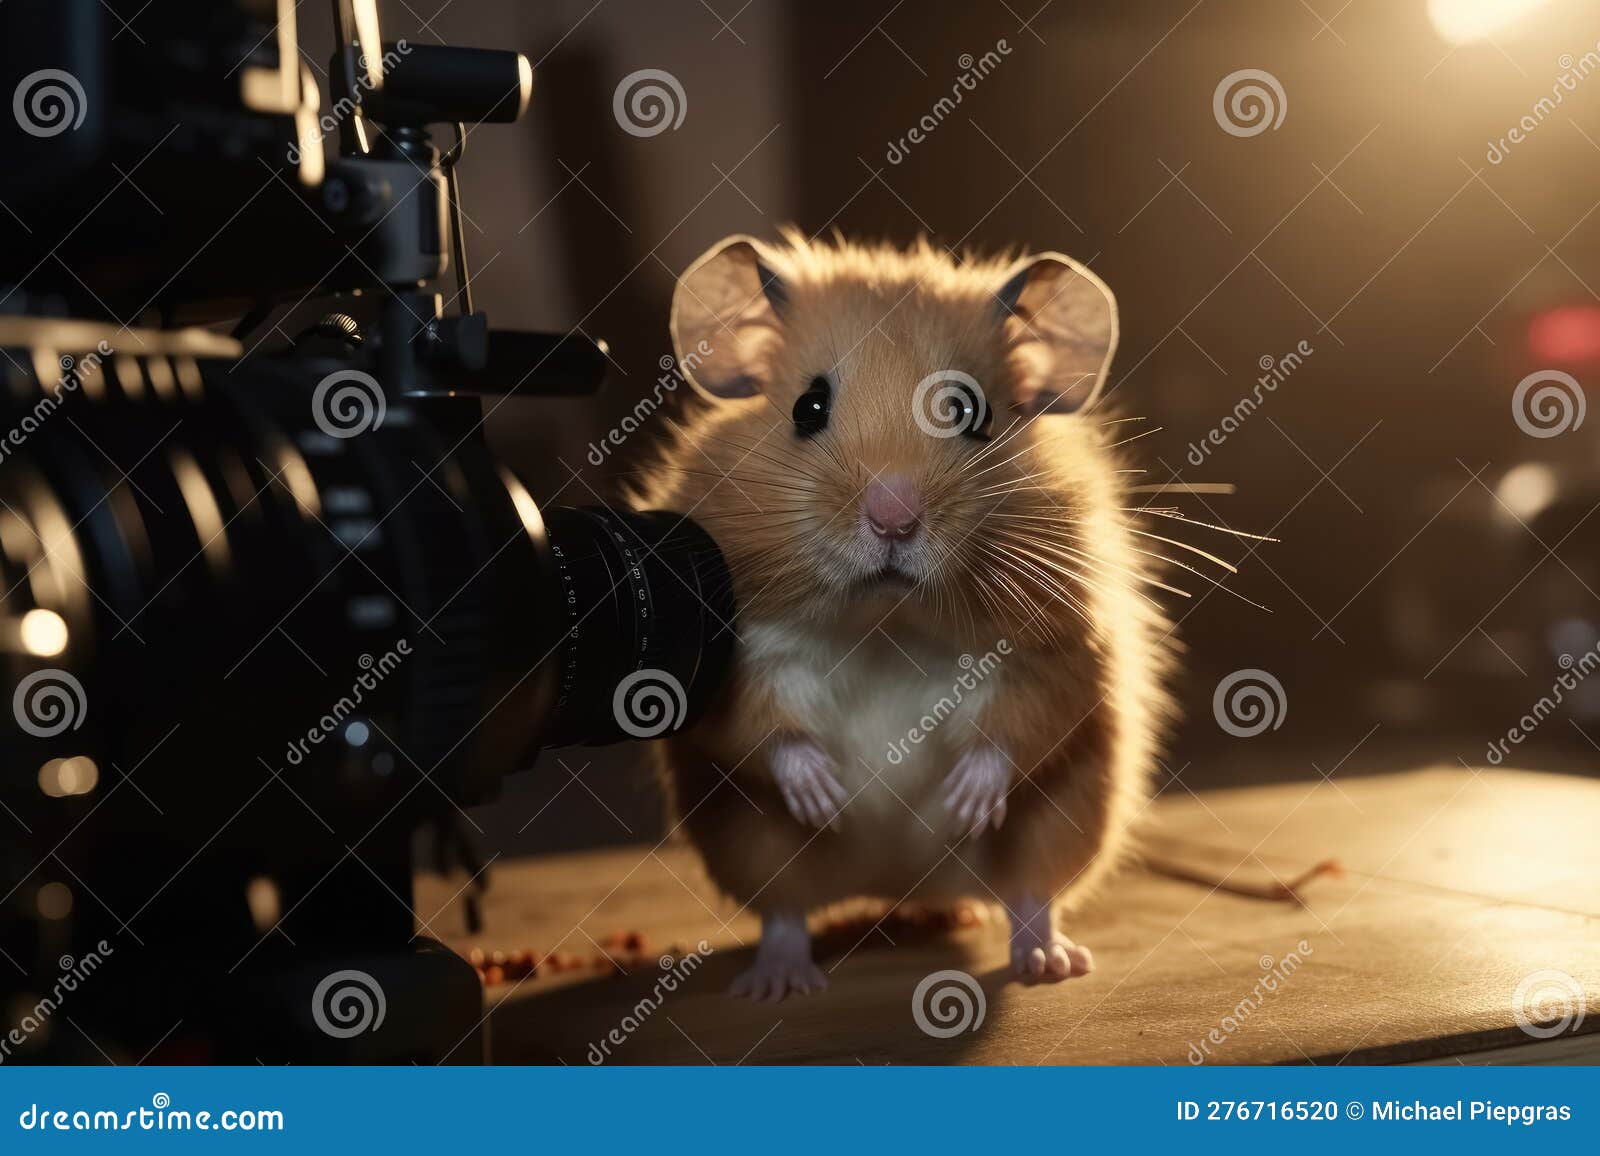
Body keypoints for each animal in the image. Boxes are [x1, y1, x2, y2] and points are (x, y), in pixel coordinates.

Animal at [634, 230, 1174, 999]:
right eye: (807, 408)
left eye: (971, 411)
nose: (893, 519)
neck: (886, 623)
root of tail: (901, 886)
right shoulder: (733, 657)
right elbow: (763, 724)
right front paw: (824, 798)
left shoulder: (1063, 641)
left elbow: (1017, 722)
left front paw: (963, 802)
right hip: (748, 844)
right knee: (784, 909)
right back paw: (777, 982)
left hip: (1067, 817)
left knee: (1031, 891)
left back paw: (1045, 960)